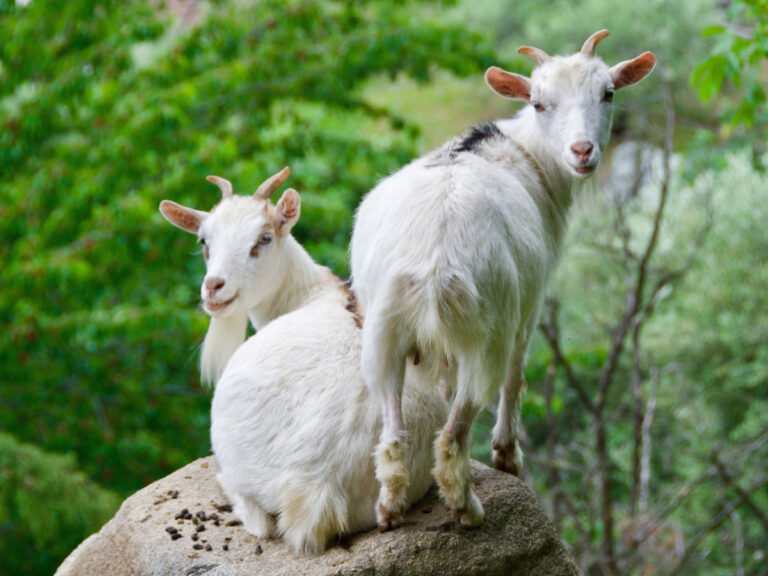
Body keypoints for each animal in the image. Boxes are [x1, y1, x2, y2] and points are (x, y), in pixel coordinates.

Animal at [159, 170, 447, 554]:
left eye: (264, 238)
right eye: (204, 241)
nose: (214, 287)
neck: (314, 292)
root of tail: (315, 488)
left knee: (256, 515)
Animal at [349, 30, 656, 529]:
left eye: (608, 94)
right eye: (538, 103)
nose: (582, 152)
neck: (525, 153)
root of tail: (434, 253)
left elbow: (444, 388)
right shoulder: (529, 303)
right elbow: (517, 377)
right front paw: (506, 456)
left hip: (382, 330)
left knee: (394, 428)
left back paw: (391, 507)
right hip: (488, 327)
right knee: (457, 426)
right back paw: (467, 508)